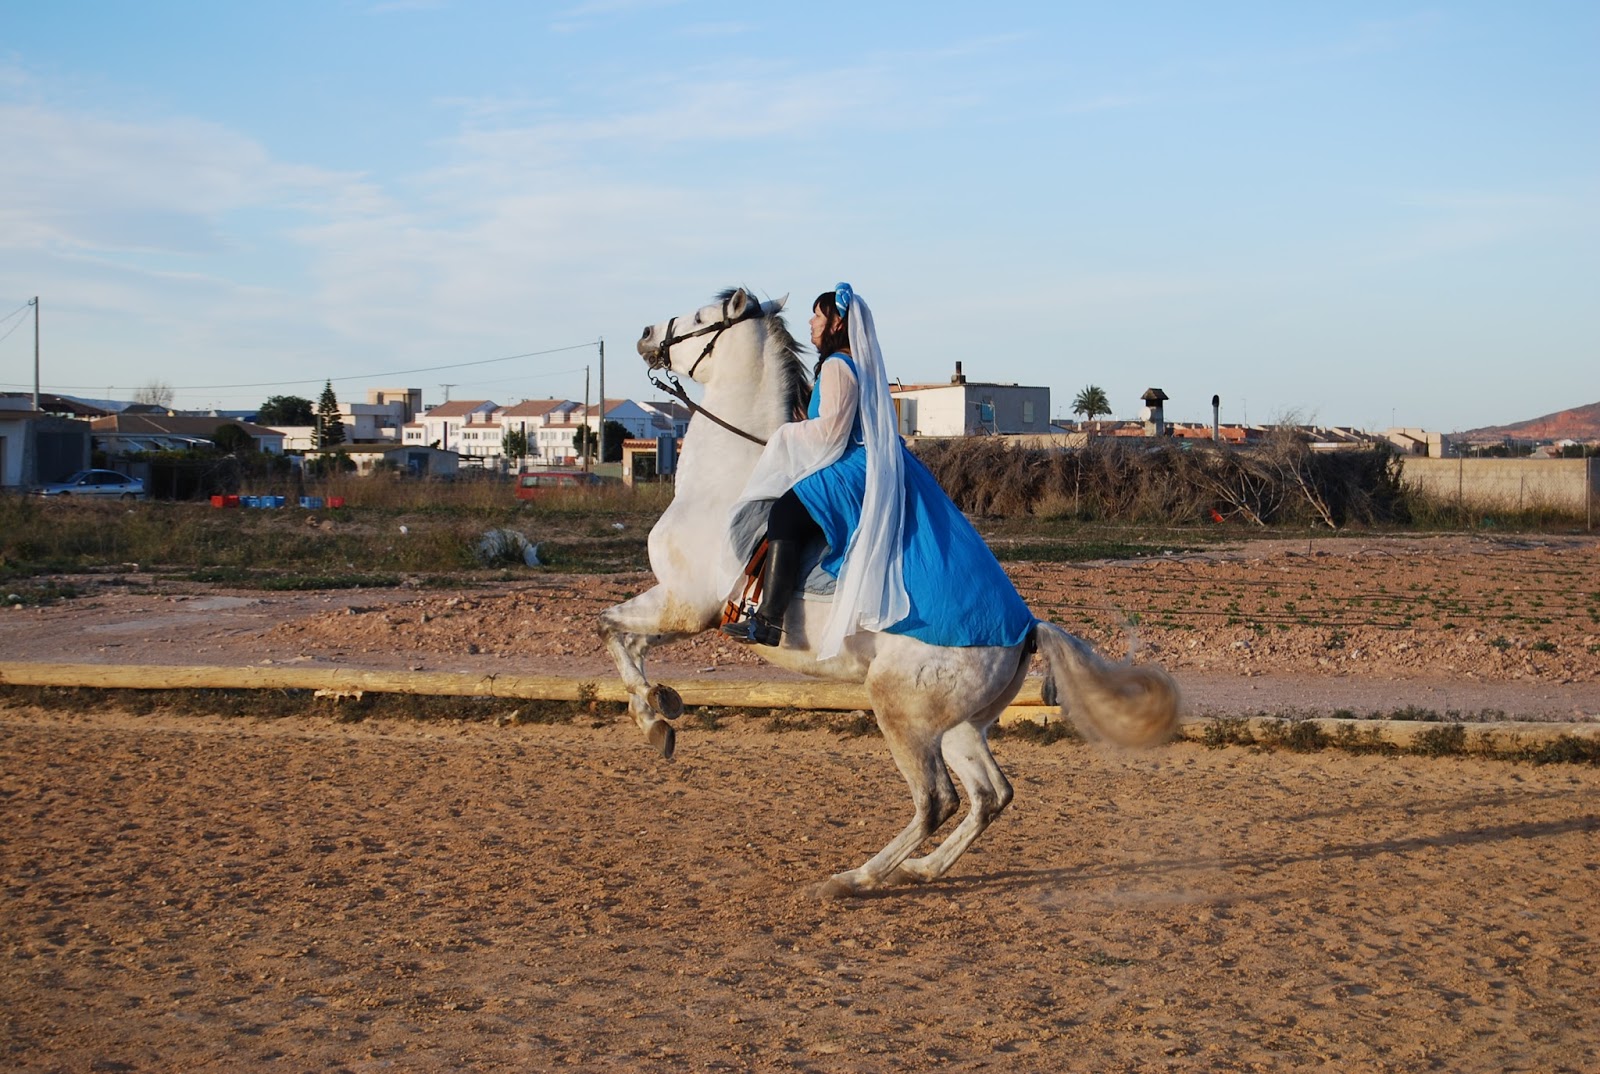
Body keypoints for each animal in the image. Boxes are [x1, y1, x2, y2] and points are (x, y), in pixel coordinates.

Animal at [599, 287, 1180, 897]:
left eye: (701, 318)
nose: (646, 334)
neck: (727, 478)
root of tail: (1026, 629)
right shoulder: (685, 607)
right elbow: (624, 640)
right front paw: (659, 710)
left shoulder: (689, 605)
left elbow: (608, 626)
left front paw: (655, 717)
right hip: (957, 727)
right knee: (990, 795)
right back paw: (920, 869)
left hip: (900, 710)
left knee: (937, 800)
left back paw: (855, 878)